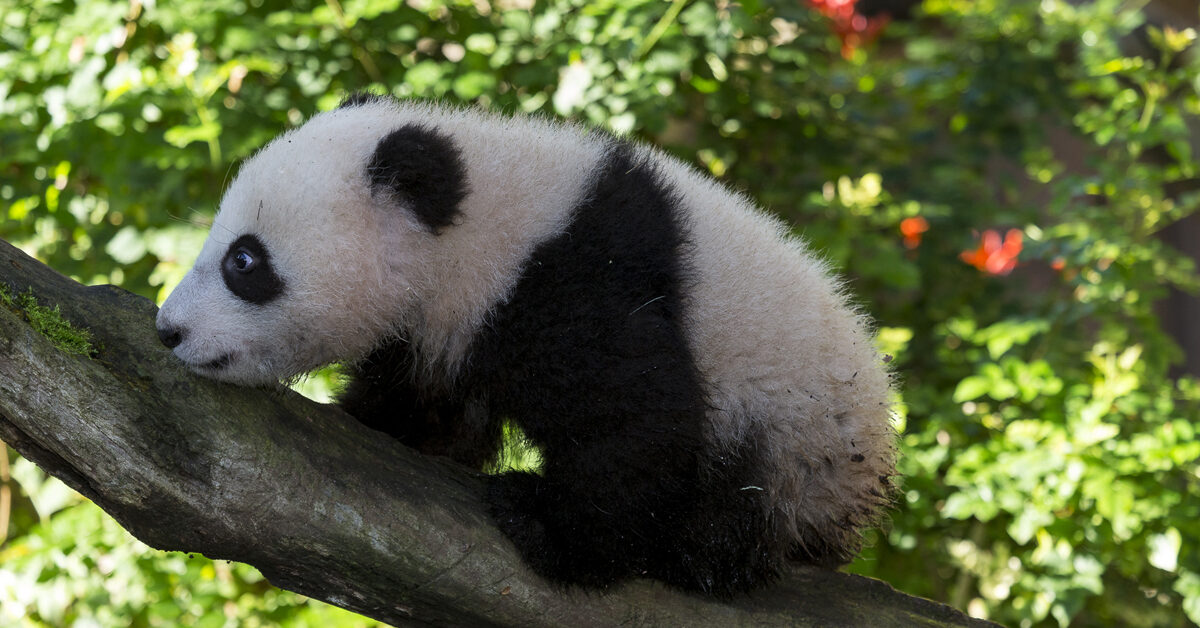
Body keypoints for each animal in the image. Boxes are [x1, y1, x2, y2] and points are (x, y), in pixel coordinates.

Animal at [155, 93, 896, 596]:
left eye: (243, 261)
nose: (169, 331)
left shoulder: (577, 279)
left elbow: (637, 418)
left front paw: (553, 531)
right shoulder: (449, 327)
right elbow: (432, 412)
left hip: (795, 433)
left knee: (738, 505)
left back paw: (702, 548)